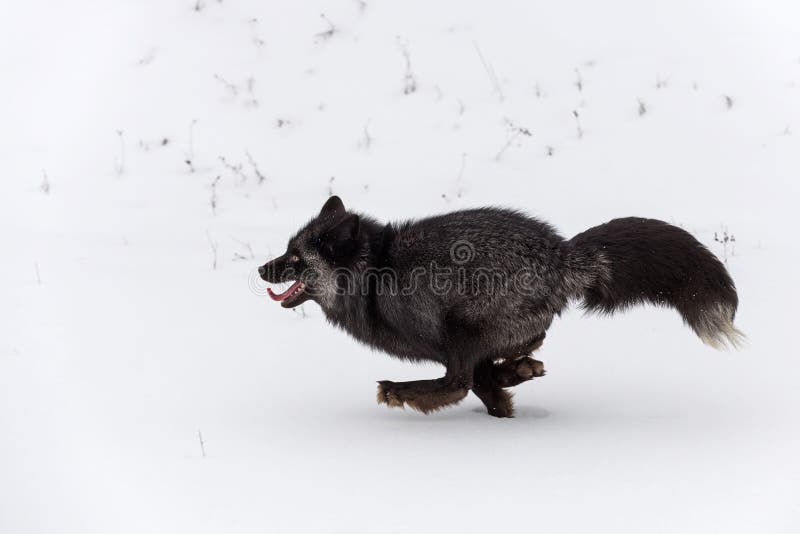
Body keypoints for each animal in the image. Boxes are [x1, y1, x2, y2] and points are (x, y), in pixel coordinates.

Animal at [259, 196, 743, 417]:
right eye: (286, 251)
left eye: (295, 260)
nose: (262, 269)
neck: (374, 275)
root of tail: (561, 256)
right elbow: (487, 386)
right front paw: (510, 397)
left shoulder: (442, 343)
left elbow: (464, 383)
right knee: (516, 350)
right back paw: (522, 366)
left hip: (461, 327)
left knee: (456, 381)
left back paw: (398, 389)